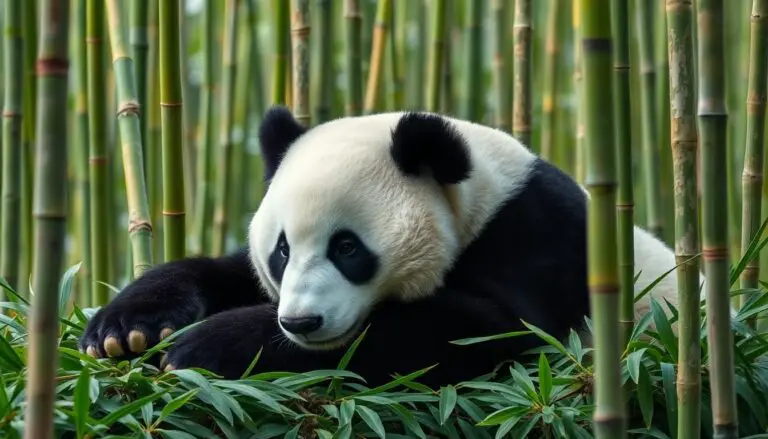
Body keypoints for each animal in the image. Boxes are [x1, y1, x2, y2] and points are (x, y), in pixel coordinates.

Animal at [80, 106, 694, 388]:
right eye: (282, 251)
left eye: (347, 248)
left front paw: (207, 345)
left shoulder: (536, 239)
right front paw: (126, 330)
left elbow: (483, 330)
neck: (480, 198)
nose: (300, 323)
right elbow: (221, 272)